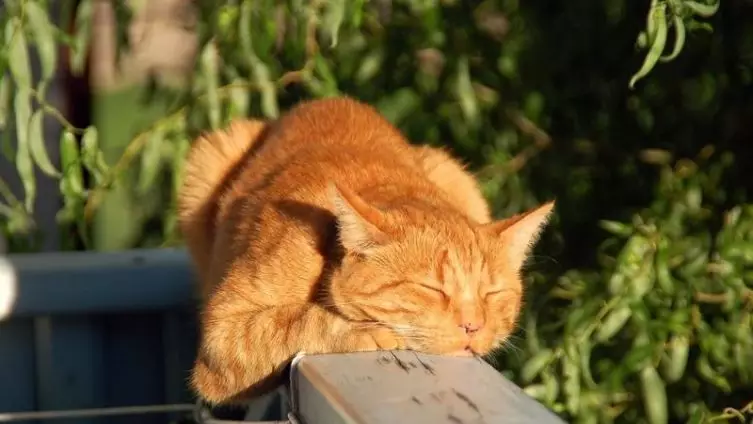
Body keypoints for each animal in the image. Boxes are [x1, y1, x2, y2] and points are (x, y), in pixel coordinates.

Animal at [176, 95, 552, 404]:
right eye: (432, 289)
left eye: (492, 293)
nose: (473, 326)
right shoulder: (221, 335)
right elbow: (298, 320)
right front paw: (363, 329)